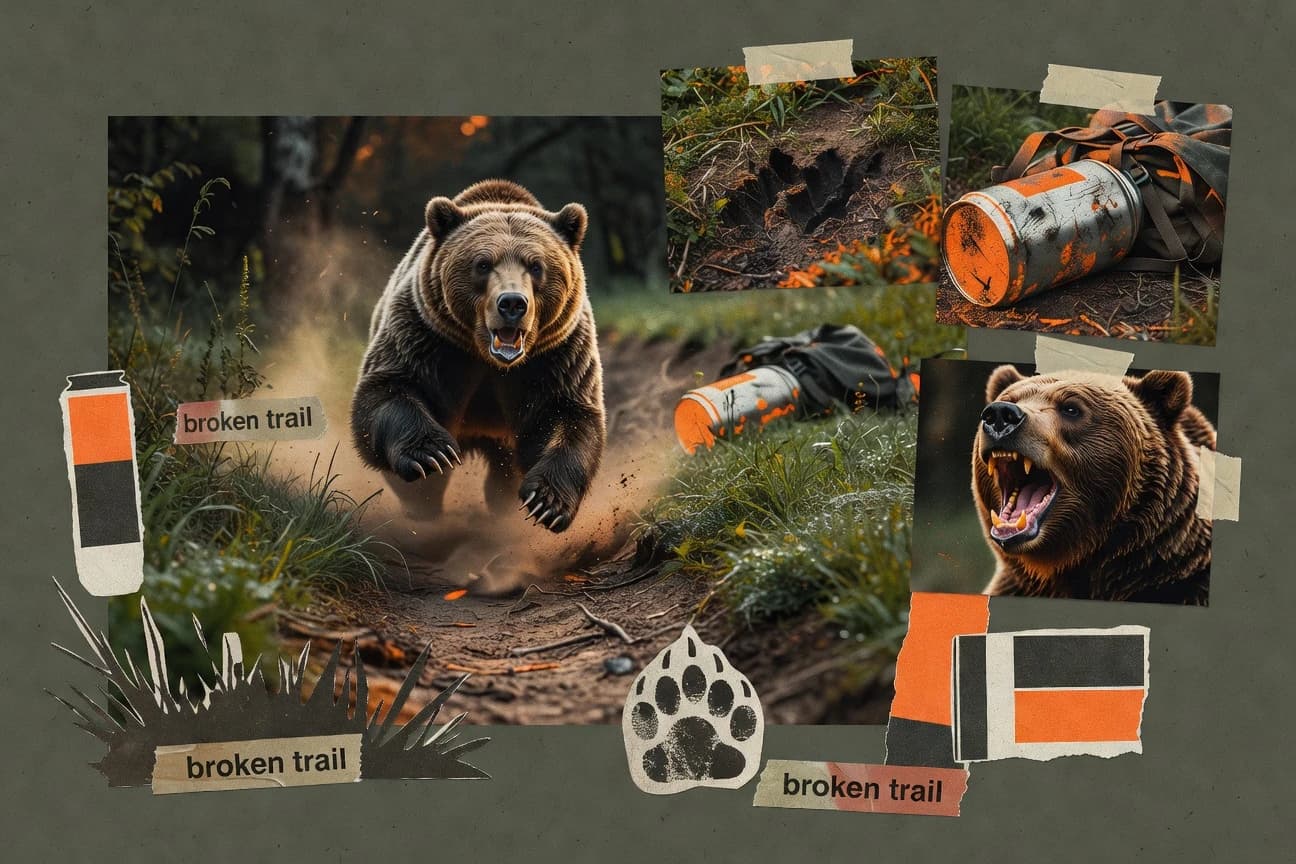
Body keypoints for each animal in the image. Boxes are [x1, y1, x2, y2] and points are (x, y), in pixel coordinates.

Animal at [350, 179, 605, 533]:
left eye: (536, 266)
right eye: (483, 264)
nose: (512, 303)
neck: (489, 359)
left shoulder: (556, 355)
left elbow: (567, 415)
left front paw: (547, 502)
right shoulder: (427, 335)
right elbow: (389, 389)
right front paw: (432, 454)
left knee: (504, 475)